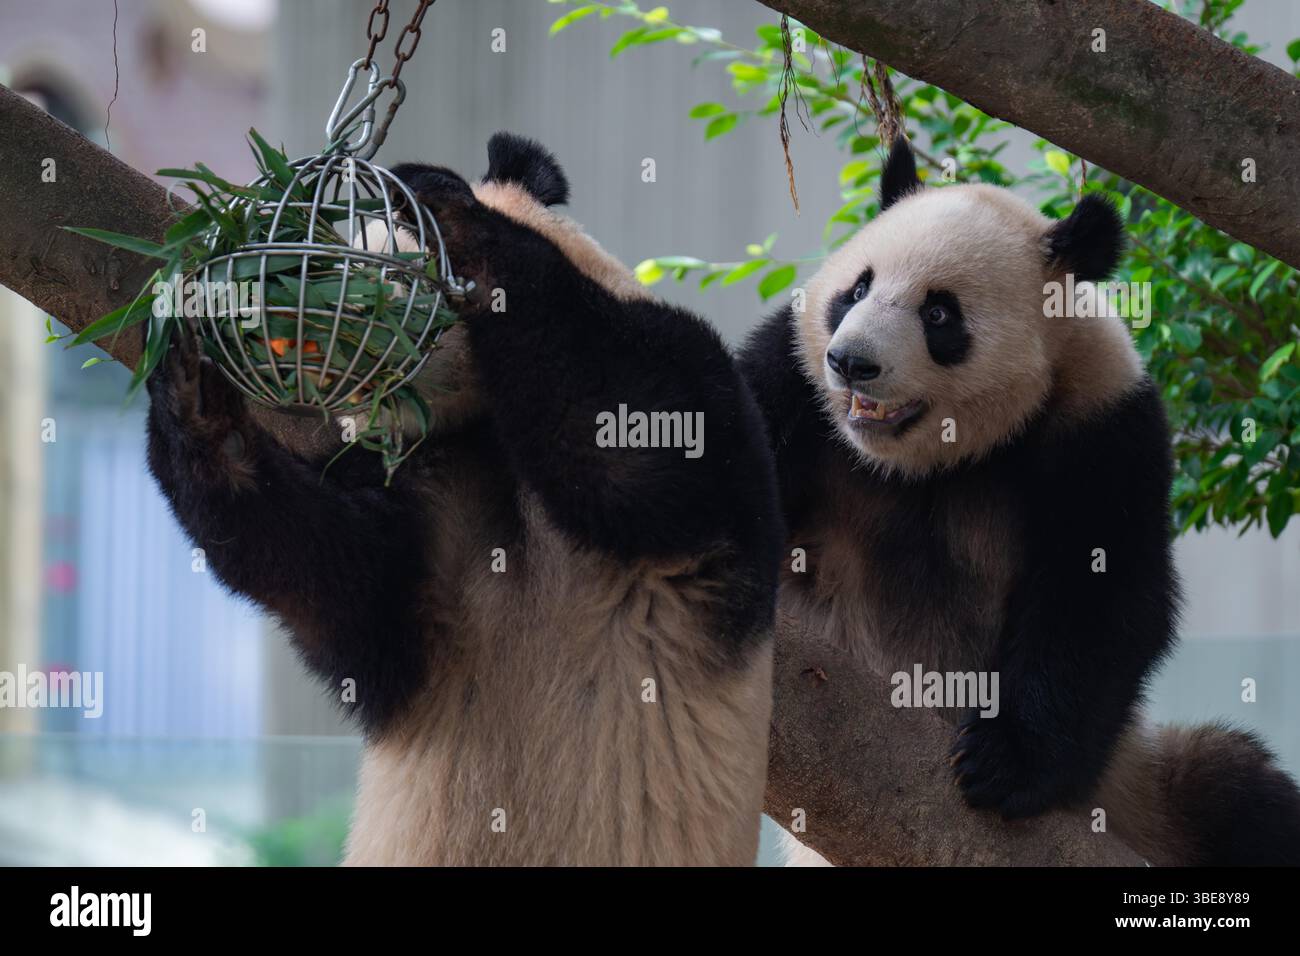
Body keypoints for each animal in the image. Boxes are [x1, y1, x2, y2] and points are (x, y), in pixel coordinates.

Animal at [144, 132, 783, 866]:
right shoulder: (430, 522)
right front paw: (196, 395)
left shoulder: (702, 431)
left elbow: (637, 439)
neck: (491, 431)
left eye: (383, 273)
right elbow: (327, 567)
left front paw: (444, 209)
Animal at [738, 137, 1300, 866]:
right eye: (856, 289)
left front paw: (1006, 760)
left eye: (939, 313)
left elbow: (1103, 593)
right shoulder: (791, 379)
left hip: (1139, 785)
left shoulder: (1103, 421)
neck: (927, 459)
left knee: (1240, 791)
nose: (850, 362)